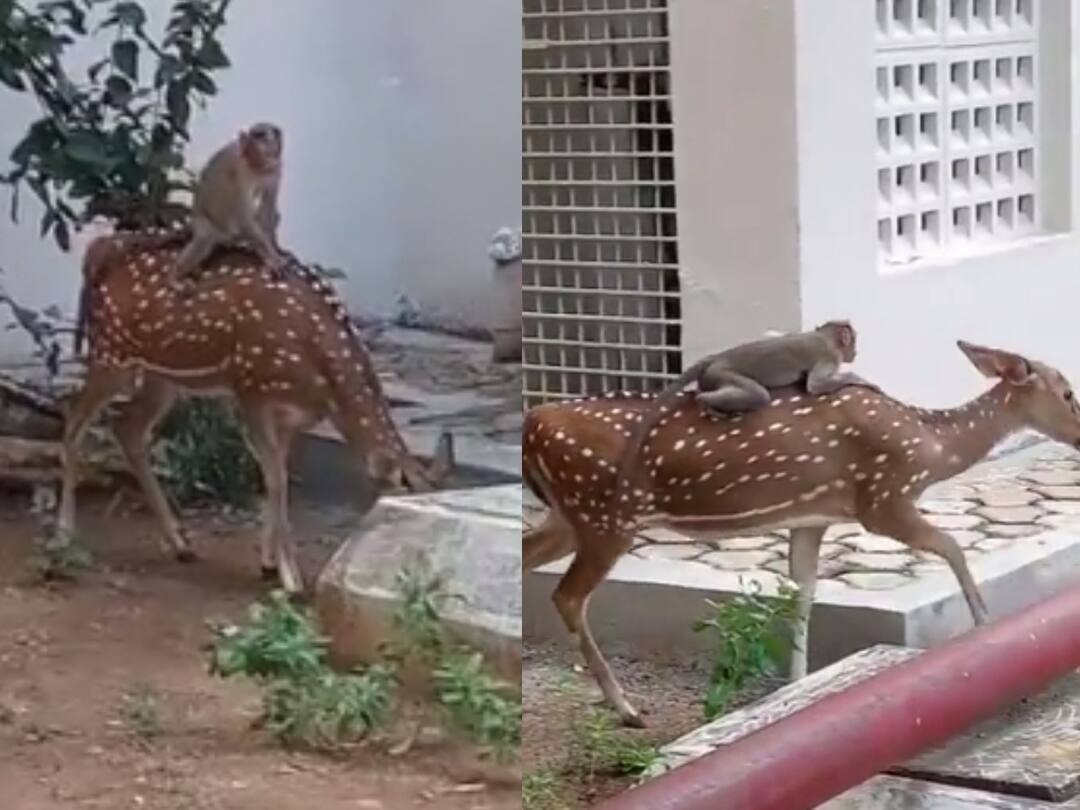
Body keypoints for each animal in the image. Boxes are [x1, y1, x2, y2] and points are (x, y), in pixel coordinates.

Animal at [60, 228, 454, 594]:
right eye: (398, 517)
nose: (417, 581)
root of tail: (97, 250)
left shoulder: (293, 415)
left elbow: (275, 475)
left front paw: (269, 563)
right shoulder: (251, 391)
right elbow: (277, 478)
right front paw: (291, 579)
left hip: (162, 377)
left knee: (128, 429)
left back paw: (181, 544)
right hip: (110, 352)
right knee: (73, 424)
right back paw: (65, 533)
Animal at [169, 122, 285, 287]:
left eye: (261, 135)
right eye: (254, 135)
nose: (247, 143)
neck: (258, 168)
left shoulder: (275, 172)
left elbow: (268, 209)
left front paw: (271, 252)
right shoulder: (241, 174)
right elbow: (244, 218)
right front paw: (272, 256)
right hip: (205, 222)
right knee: (204, 239)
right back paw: (174, 276)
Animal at [523, 341, 1080, 727]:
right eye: (1069, 392)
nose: (1079, 434)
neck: (930, 445)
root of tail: (534, 422)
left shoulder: (813, 518)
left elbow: (803, 593)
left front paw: (795, 687)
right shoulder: (883, 498)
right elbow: (953, 547)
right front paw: (986, 628)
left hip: (568, 518)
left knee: (529, 560)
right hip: (605, 518)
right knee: (567, 595)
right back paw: (627, 708)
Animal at [615, 321, 882, 494]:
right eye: (852, 341)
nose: (855, 352)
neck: (827, 338)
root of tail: (715, 358)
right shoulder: (828, 357)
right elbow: (815, 386)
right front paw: (861, 379)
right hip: (723, 374)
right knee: (758, 395)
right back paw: (706, 403)